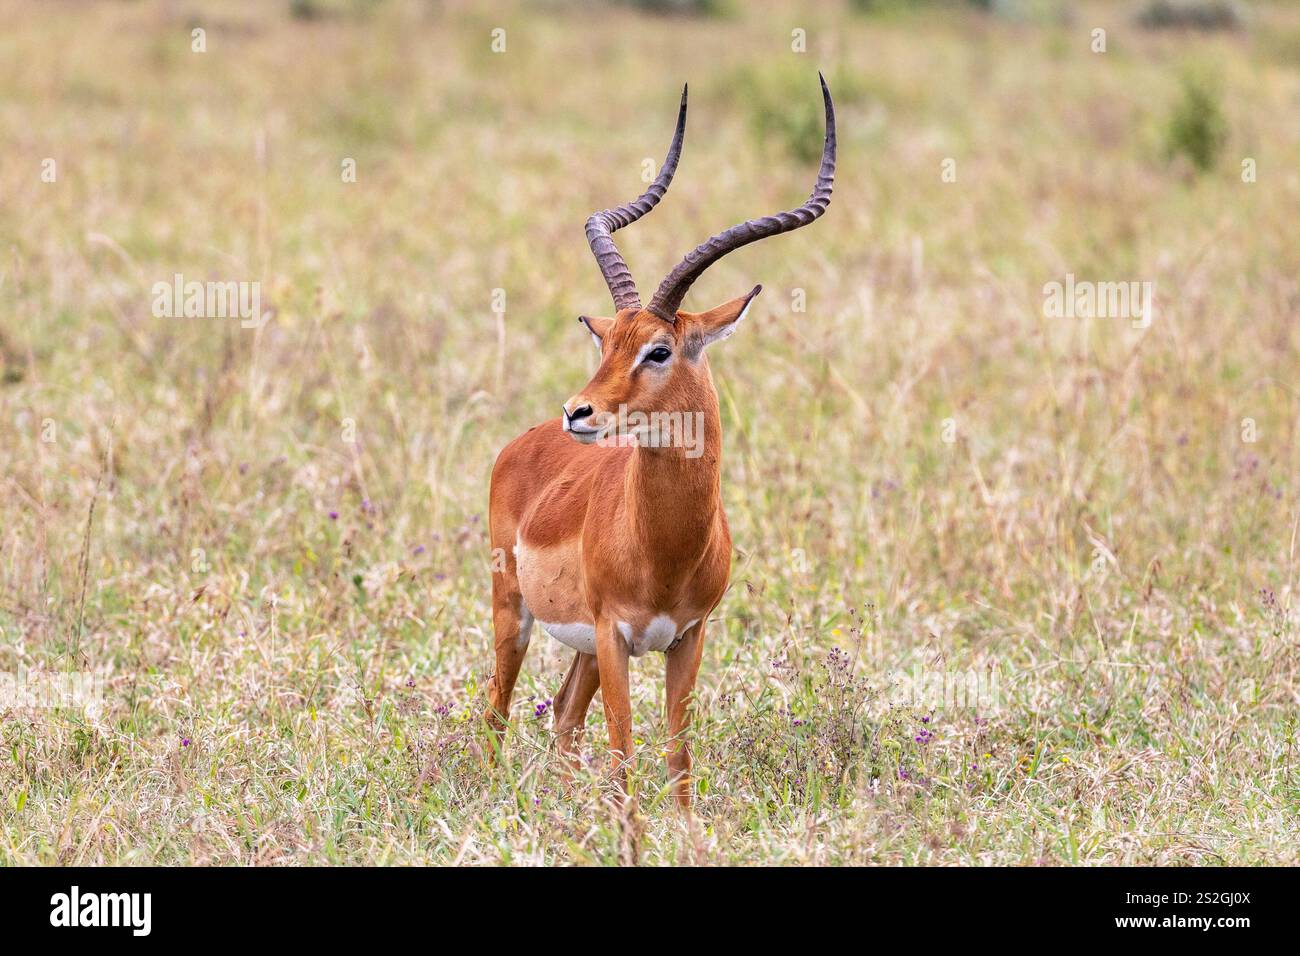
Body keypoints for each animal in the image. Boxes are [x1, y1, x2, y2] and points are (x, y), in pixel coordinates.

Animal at [486, 76, 836, 808]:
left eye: (658, 349)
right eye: (608, 341)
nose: (579, 411)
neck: (665, 546)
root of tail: (523, 442)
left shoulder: (687, 638)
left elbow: (676, 754)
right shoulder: (615, 636)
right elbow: (623, 752)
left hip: (582, 644)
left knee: (564, 716)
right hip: (517, 612)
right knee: (497, 709)